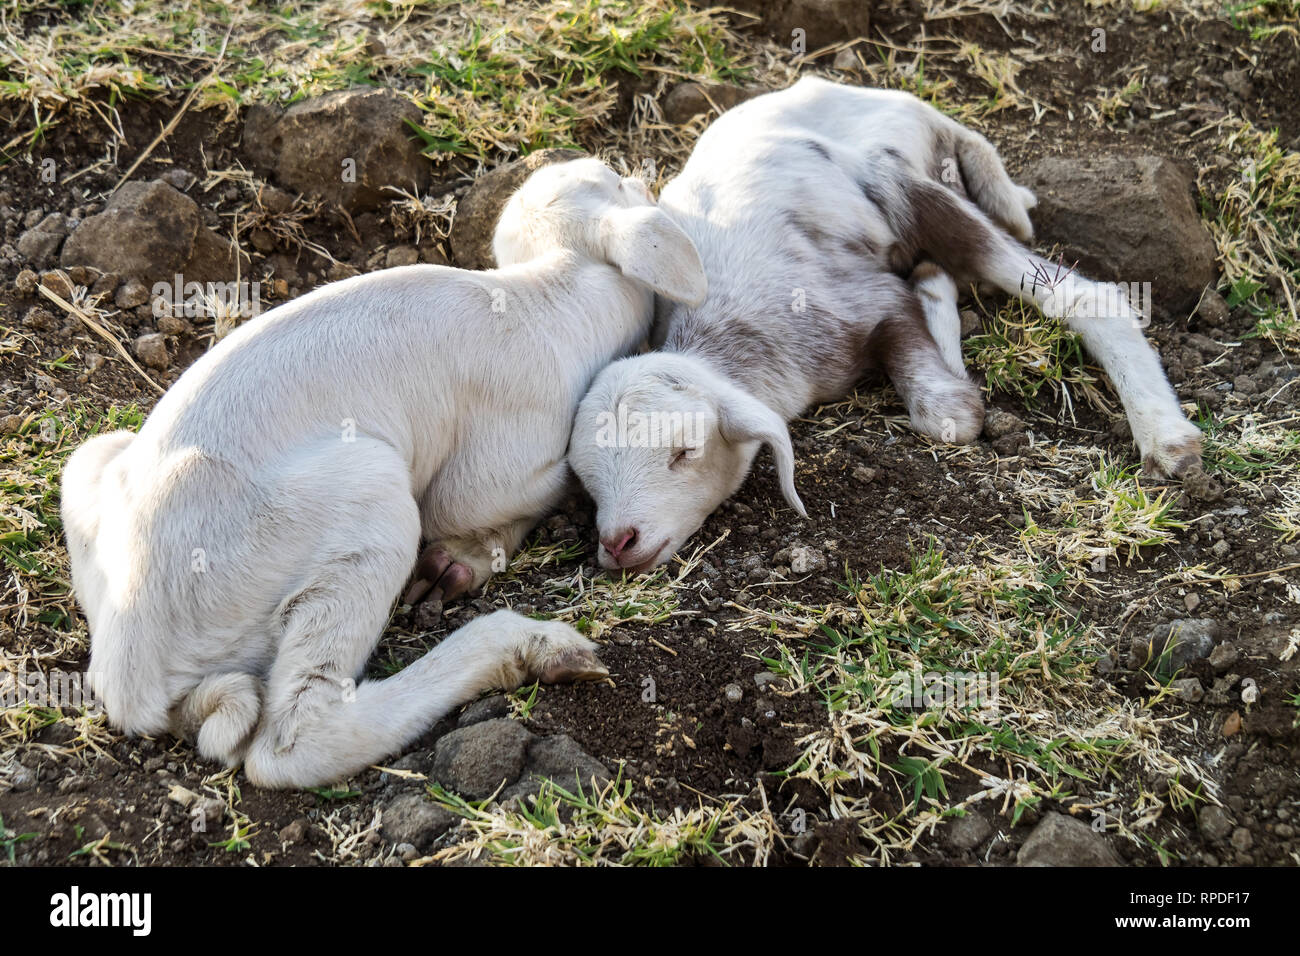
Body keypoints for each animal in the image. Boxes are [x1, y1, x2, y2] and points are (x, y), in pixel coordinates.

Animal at [60, 158, 707, 788]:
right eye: (617, 183)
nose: (642, 175)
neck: (554, 291)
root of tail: (129, 669)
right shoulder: (502, 461)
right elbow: (515, 494)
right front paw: (469, 557)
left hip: (93, 461)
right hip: (366, 497)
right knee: (291, 742)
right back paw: (530, 647)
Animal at [568, 77, 1203, 573]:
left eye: (685, 451)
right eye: (584, 477)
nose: (619, 543)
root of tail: (907, 103)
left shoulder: (861, 302)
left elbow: (947, 413)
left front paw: (950, 378)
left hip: (900, 183)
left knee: (1088, 298)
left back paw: (1166, 436)